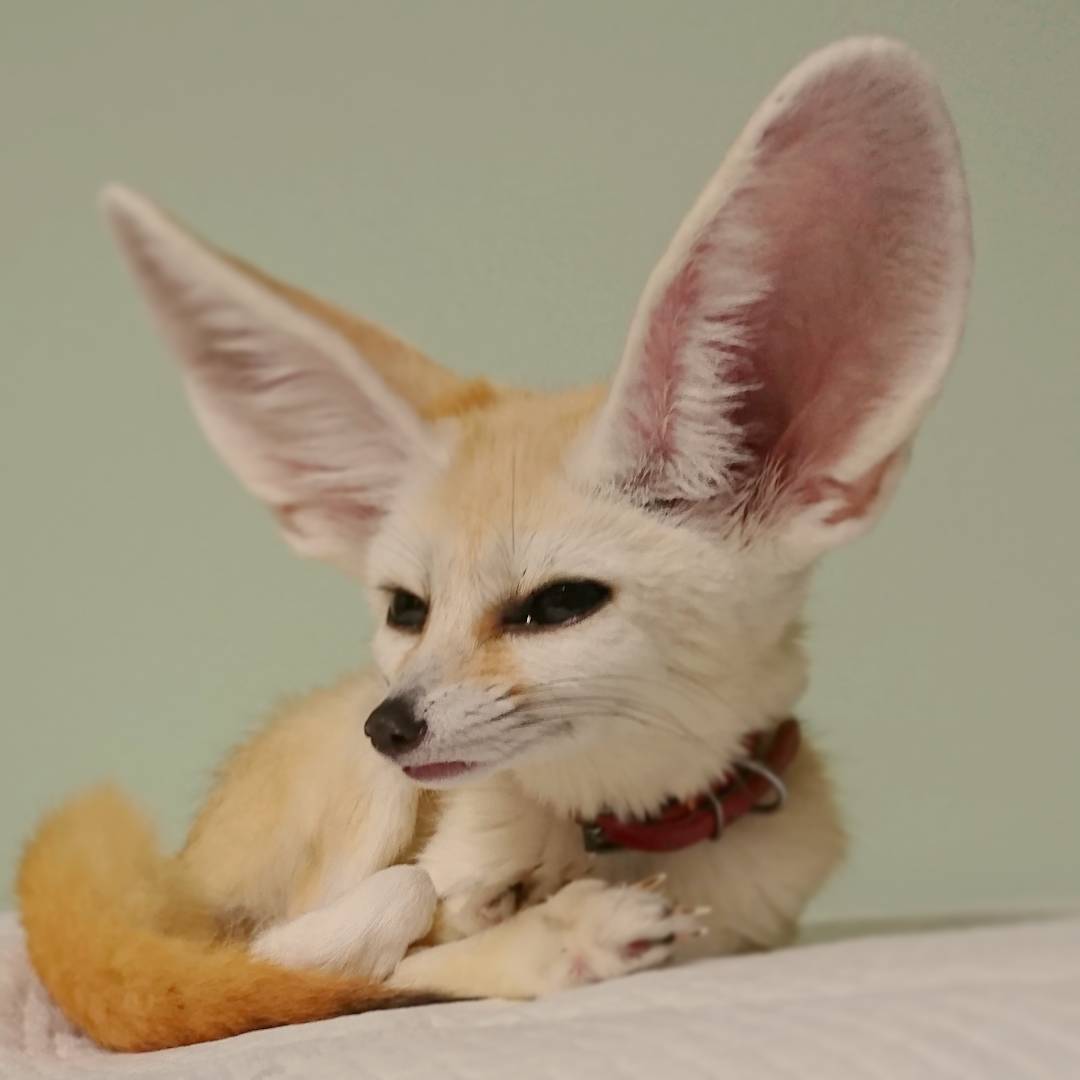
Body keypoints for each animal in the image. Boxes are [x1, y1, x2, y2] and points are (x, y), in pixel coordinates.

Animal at [17, 37, 971, 1053]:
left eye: (558, 605)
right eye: (407, 608)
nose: (390, 725)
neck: (608, 832)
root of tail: (177, 864)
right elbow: (384, 945)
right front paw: (556, 935)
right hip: (344, 796)